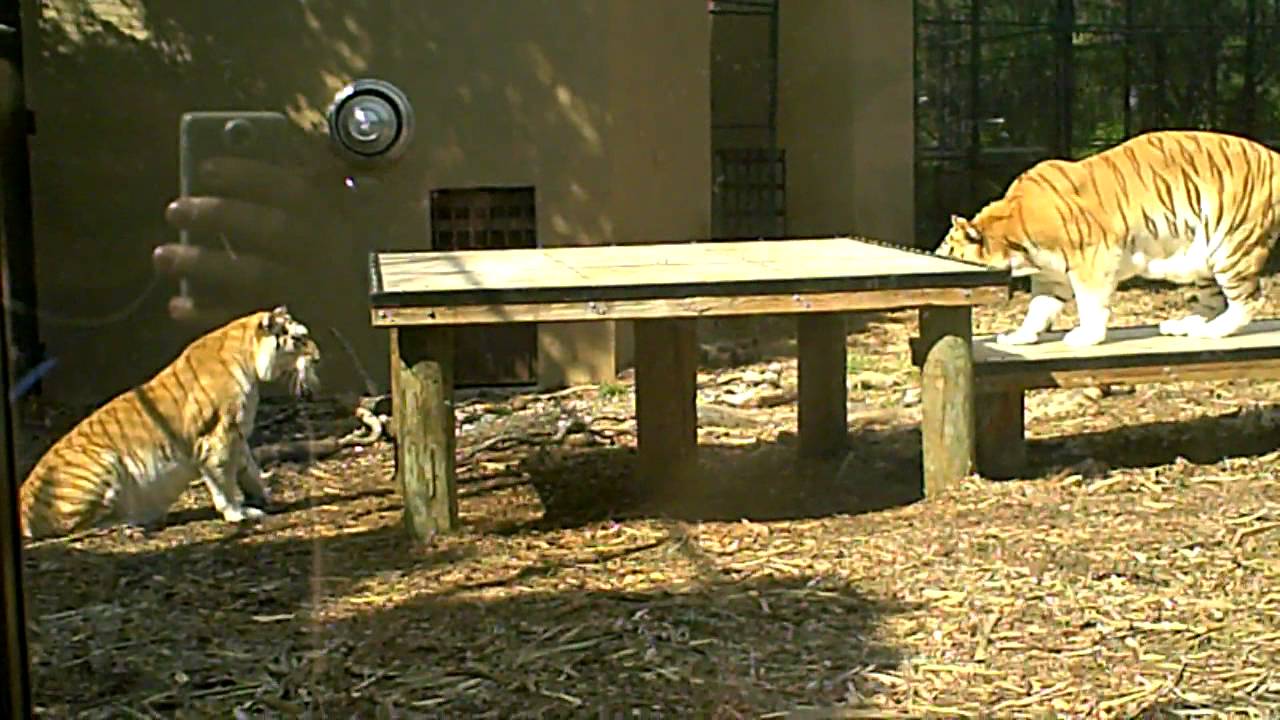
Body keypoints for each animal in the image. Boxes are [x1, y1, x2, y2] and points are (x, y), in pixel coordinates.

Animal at [18, 305, 321, 540]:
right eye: (299, 338)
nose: (318, 357)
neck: (249, 356)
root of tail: (21, 499)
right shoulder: (217, 437)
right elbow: (223, 478)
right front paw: (238, 512)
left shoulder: (237, 434)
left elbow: (250, 469)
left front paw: (264, 497)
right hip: (104, 464)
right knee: (79, 527)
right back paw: (133, 522)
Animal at [936, 129, 1280, 348]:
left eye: (946, 250)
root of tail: (1273, 156)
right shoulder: (1051, 276)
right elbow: (1038, 309)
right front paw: (1019, 337)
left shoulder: (1093, 257)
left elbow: (1090, 303)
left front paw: (1085, 337)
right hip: (1201, 256)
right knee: (1213, 301)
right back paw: (1185, 325)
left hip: (1231, 247)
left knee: (1248, 300)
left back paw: (1214, 332)